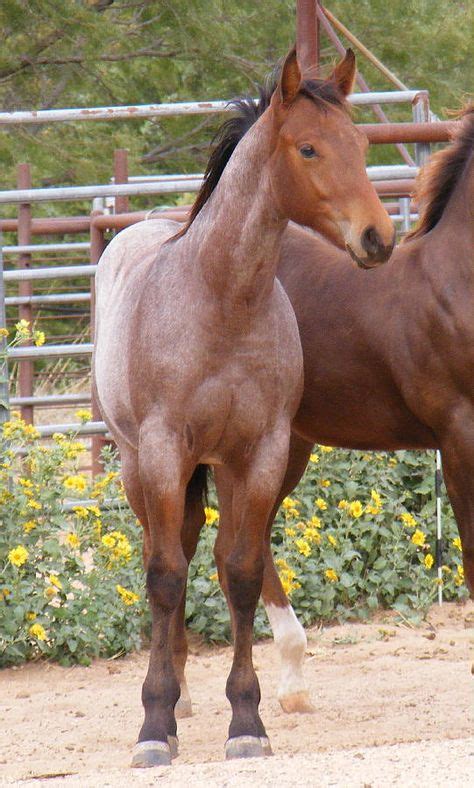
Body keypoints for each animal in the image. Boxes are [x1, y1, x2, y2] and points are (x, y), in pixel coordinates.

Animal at [93, 48, 395, 766]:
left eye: (362, 144)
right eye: (308, 148)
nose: (378, 237)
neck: (220, 303)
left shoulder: (259, 453)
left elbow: (242, 571)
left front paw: (247, 720)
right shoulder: (163, 452)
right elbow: (165, 577)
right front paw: (154, 727)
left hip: (216, 470)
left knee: (199, 546)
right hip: (138, 468)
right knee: (163, 556)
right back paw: (172, 702)